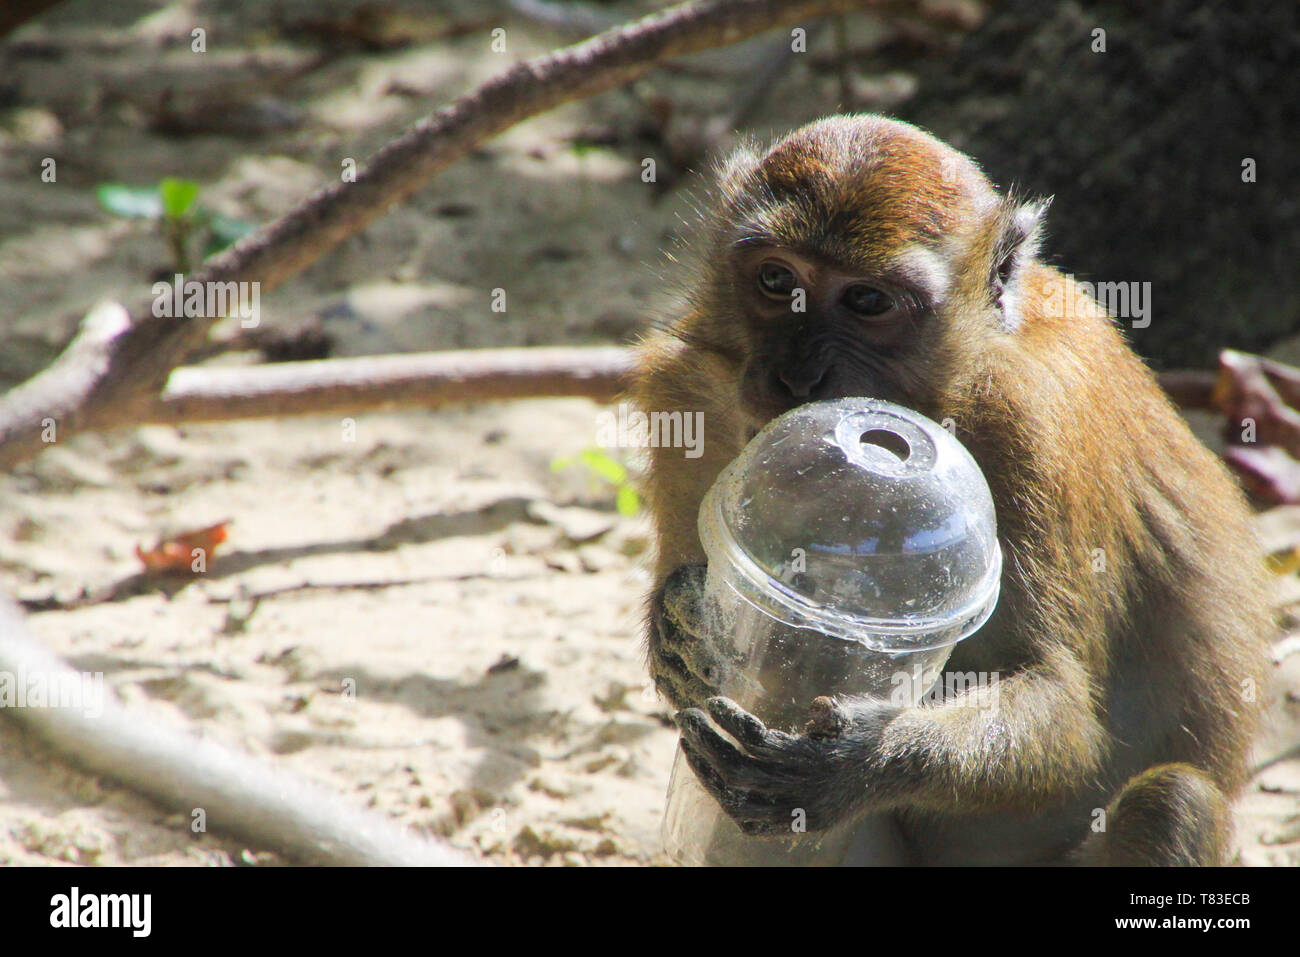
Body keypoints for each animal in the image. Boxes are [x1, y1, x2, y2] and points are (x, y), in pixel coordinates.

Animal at [632, 114, 1273, 866]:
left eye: (868, 301)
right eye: (774, 278)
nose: (795, 378)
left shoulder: (1027, 422)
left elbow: (1061, 703)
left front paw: (859, 759)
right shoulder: (688, 388)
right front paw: (680, 624)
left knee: (1173, 802)